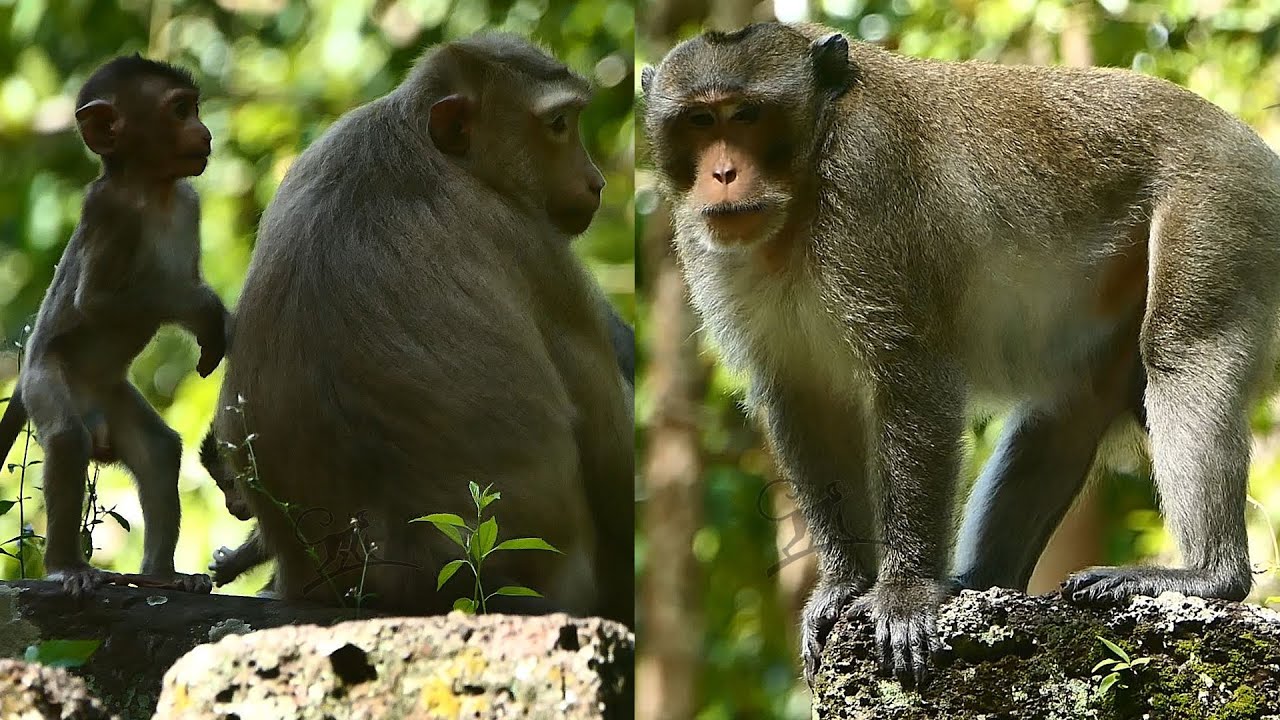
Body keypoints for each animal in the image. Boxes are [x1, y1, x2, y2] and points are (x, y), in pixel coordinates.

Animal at [0, 54, 228, 597]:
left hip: (114, 396)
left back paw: (164, 576)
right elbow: (98, 301)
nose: (205, 131)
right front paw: (203, 309)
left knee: (160, 452)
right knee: (66, 440)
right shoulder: (107, 211)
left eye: (194, 108)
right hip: (45, 380)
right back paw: (67, 566)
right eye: (180, 110)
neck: (153, 191)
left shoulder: (188, 204)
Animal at [641, 22, 1280, 686]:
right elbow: (804, 397)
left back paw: (1209, 578)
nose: (721, 174)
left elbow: (913, 374)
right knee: (1068, 413)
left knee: (1180, 350)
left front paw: (906, 593)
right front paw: (845, 585)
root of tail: (1247, 141)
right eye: (698, 122)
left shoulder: (869, 183)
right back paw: (983, 586)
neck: (809, 173)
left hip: (1220, 206)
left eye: (746, 115)